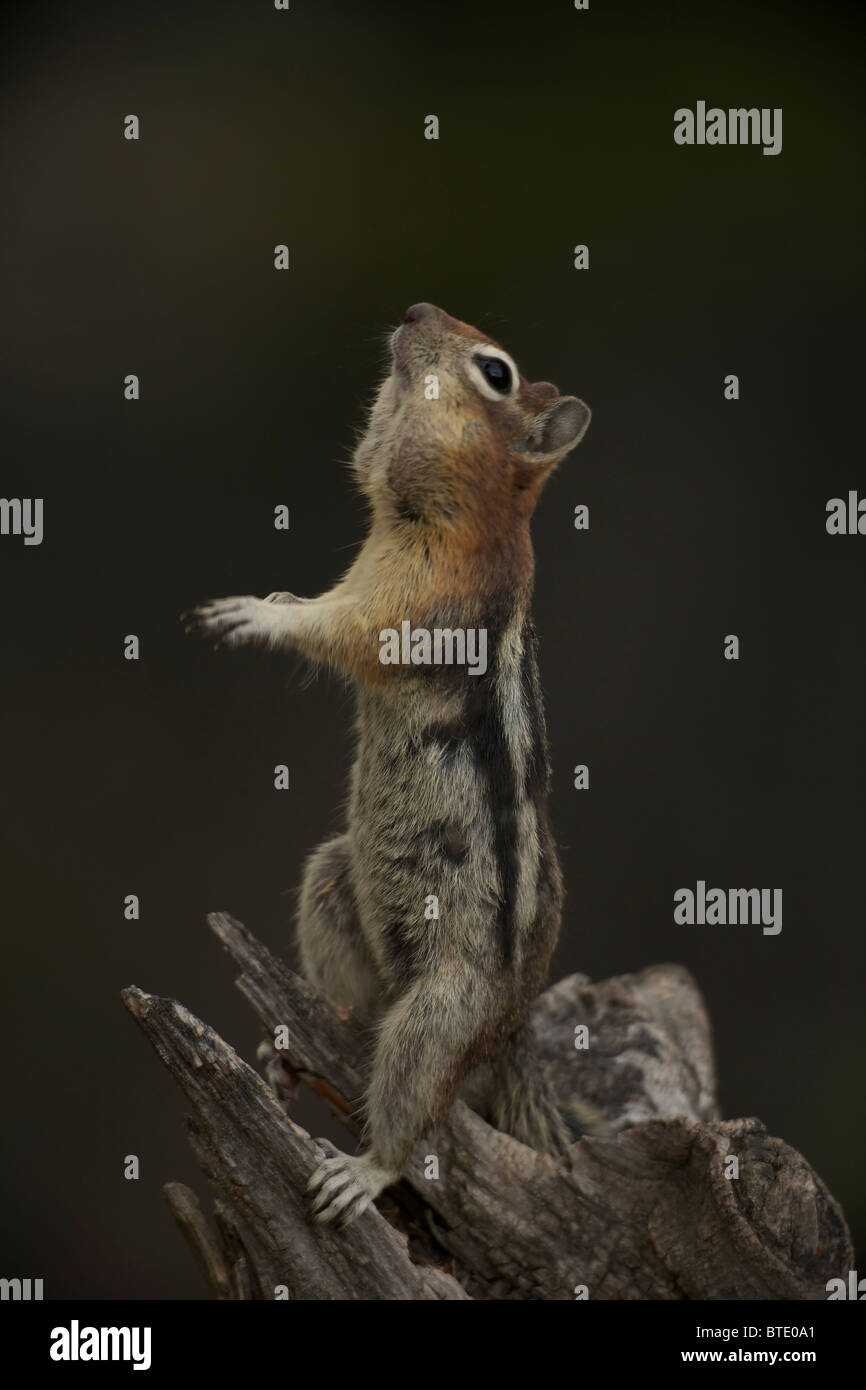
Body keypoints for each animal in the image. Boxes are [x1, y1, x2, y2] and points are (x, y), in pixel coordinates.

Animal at [185, 302, 595, 1225]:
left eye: (496, 372)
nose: (414, 312)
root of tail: (512, 1031)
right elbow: (319, 606)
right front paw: (272, 599)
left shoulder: (404, 603)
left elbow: (338, 631)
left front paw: (256, 615)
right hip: (337, 882)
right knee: (356, 1008)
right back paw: (289, 1048)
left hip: (445, 1011)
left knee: (414, 1101)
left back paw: (364, 1170)